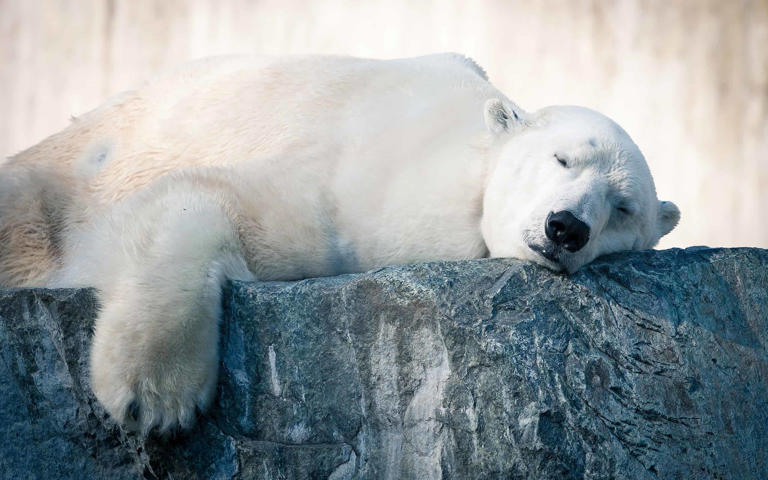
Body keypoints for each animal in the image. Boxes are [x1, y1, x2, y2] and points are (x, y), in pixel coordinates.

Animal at [0, 53, 680, 433]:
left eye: (623, 208)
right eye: (562, 158)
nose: (567, 227)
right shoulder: (354, 194)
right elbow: (215, 200)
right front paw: (155, 396)